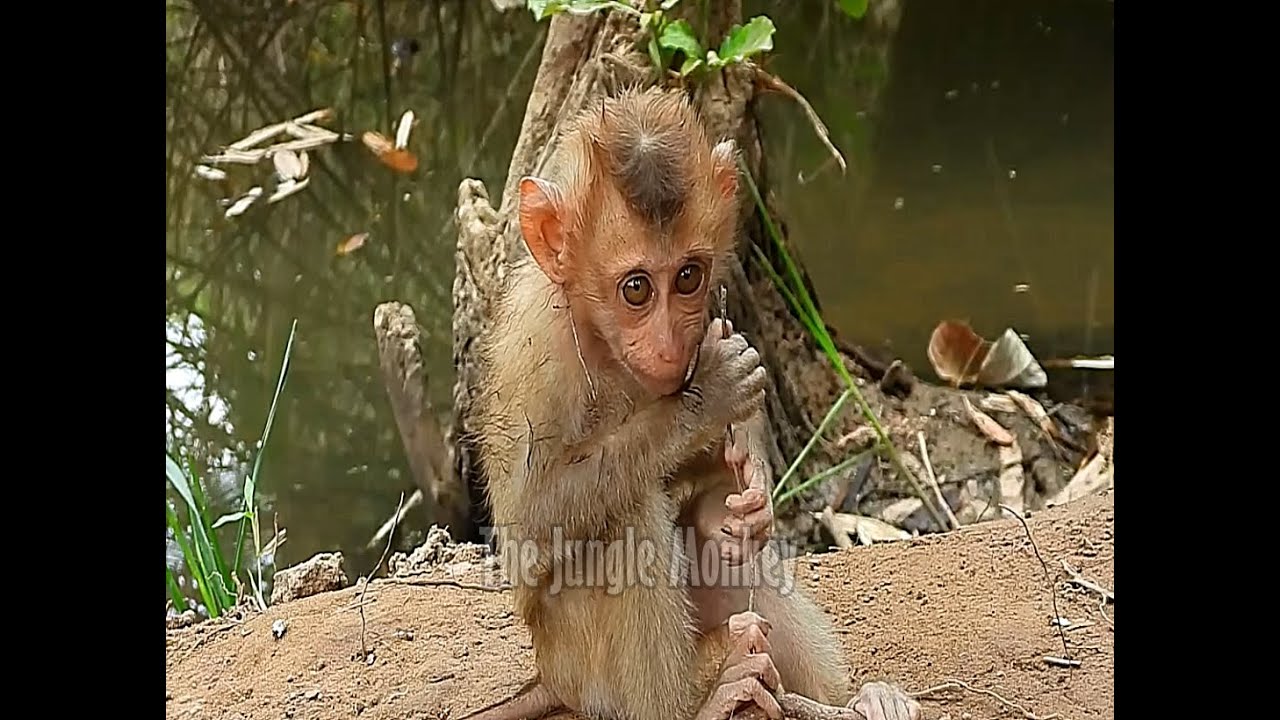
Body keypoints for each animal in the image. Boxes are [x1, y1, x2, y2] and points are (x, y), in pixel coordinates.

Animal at [463, 86, 918, 720]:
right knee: (624, 514)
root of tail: (548, 678)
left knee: (726, 556)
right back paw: (704, 699)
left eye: (688, 277)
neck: (600, 338)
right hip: (584, 672)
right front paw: (709, 395)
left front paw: (745, 491)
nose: (670, 343)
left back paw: (851, 700)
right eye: (636, 288)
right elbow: (532, 517)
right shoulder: (537, 354)